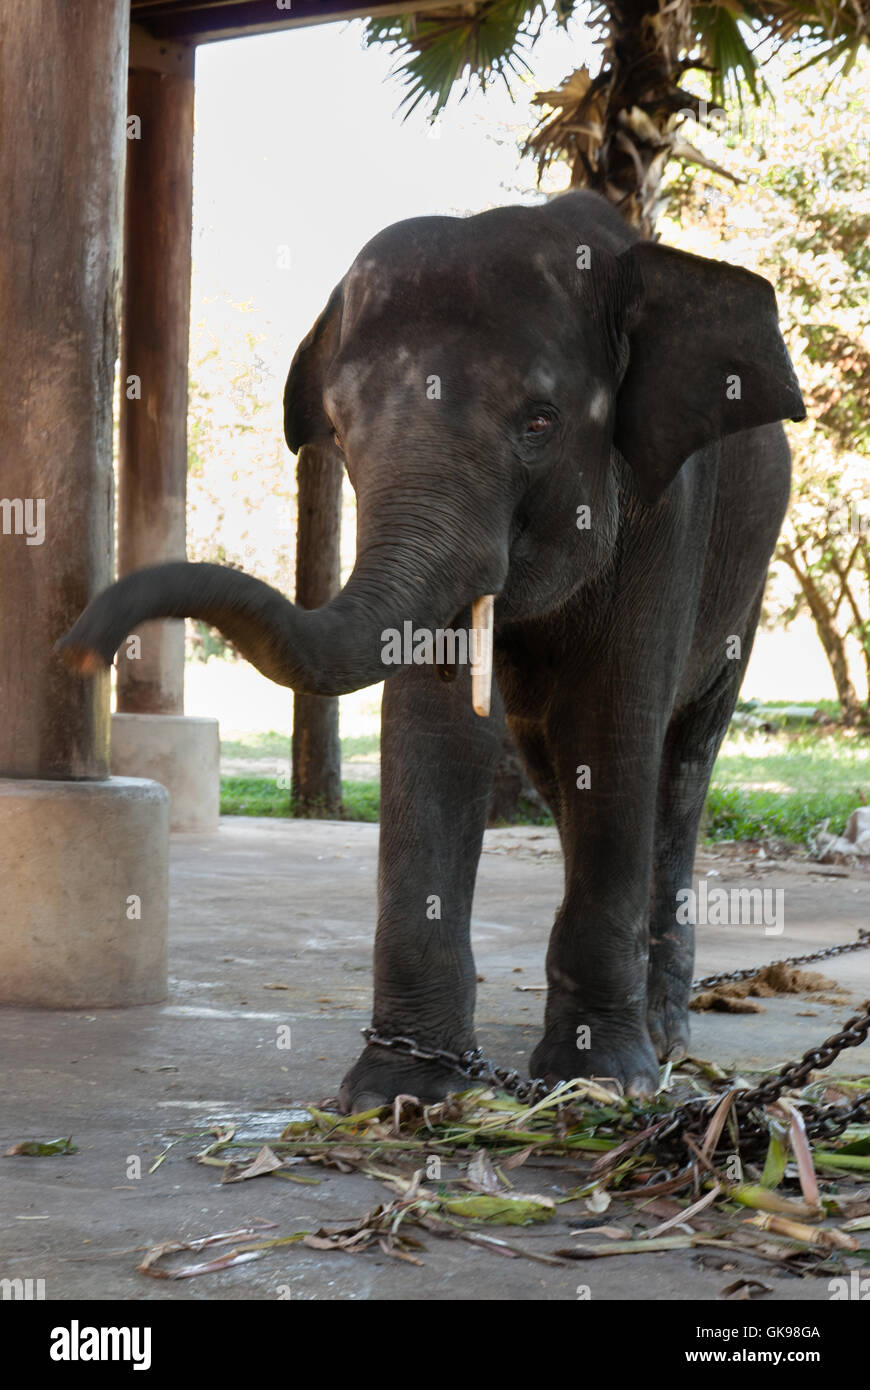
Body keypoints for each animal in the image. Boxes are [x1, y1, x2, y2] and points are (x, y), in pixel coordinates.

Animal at [59, 190, 804, 1111]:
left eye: (540, 422)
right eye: (339, 431)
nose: (80, 649)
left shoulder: (670, 508)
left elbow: (612, 721)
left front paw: (604, 1081)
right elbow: (439, 728)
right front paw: (399, 1095)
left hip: (749, 575)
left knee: (680, 765)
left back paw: (662, 1034)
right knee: (554, 764)